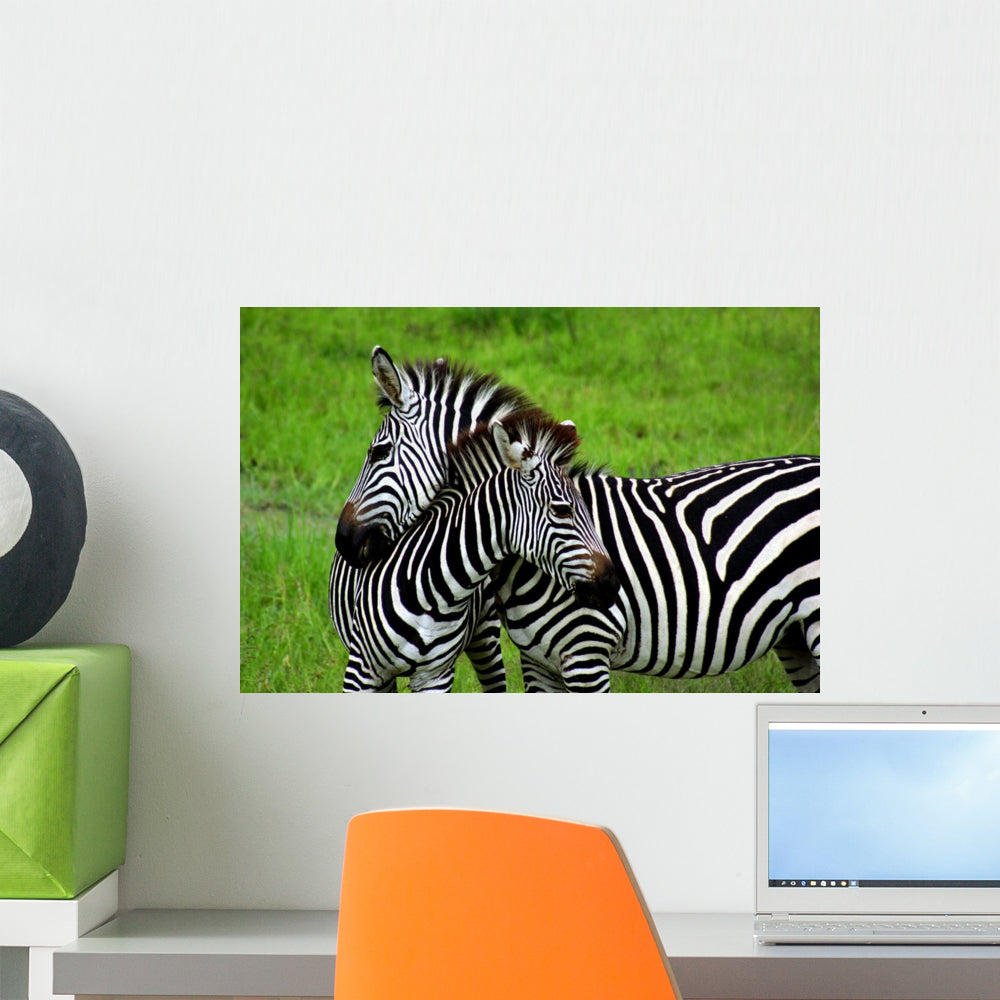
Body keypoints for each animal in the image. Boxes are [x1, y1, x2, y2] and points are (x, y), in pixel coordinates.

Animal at [331, 411, 619, 692]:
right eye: (561, 510)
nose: (611, 585)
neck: (434, 590)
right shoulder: (361, 670)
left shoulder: (435, 675)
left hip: (486, 638)